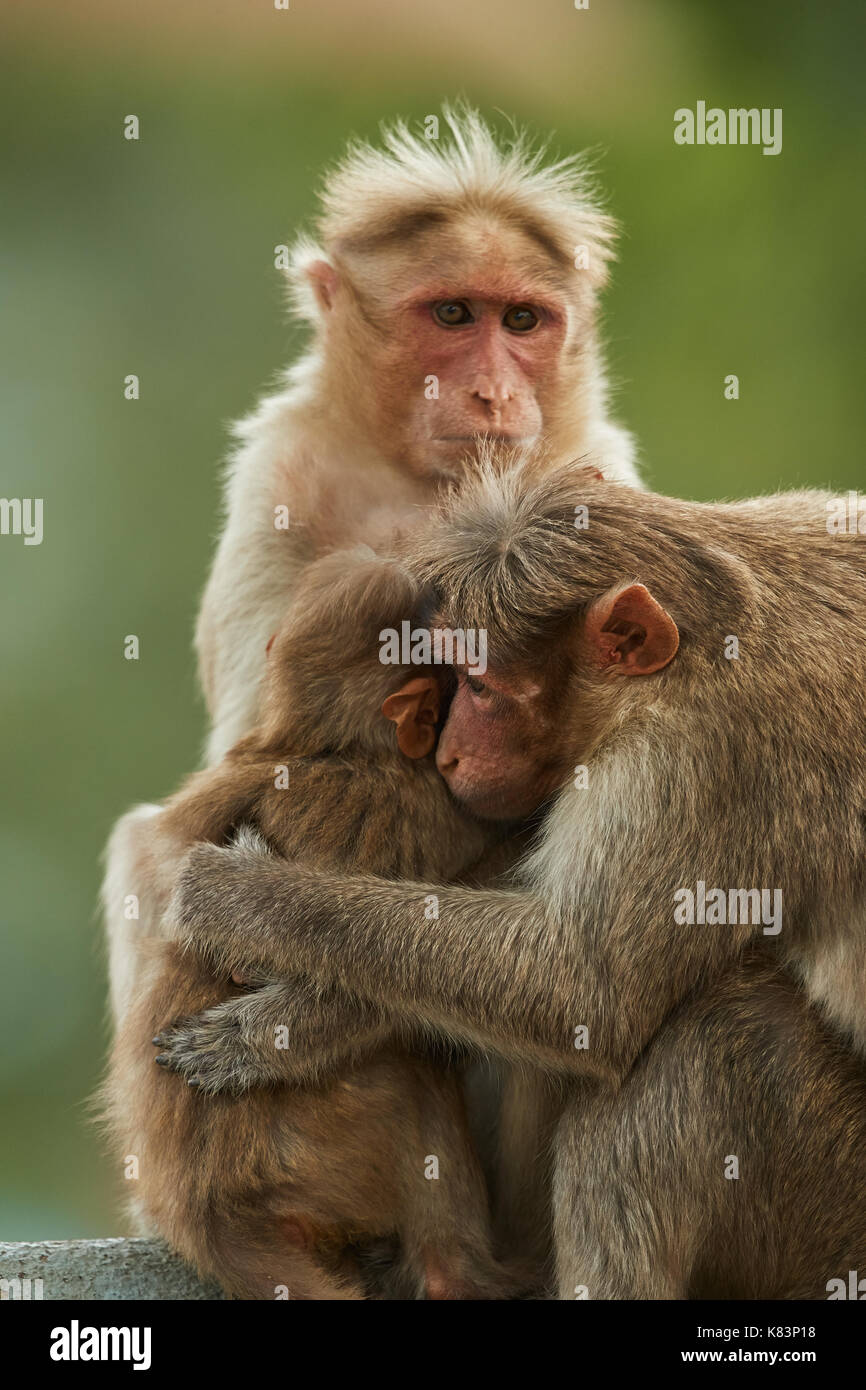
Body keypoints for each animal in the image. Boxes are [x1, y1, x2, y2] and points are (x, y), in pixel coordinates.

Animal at [101, 545, 522, 1300]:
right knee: (413, 1062)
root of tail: (207, 1215)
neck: (327, 746)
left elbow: (163, 859)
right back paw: (458, 1272)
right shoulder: (440, 803)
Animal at [102, 105, 640, 1031]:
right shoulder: (275, 471)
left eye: (522, 322)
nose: (495, 393)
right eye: (454, 313)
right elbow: (255, 747)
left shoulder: (601, 471)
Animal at [163, 458, 866, 1297]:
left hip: (831, 1195)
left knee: (712, 1032)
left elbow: (582, 992)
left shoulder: (696, 762)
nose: (449, 752)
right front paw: (318, 1013)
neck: (701, 648)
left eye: (479, 686)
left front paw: (238, 910)